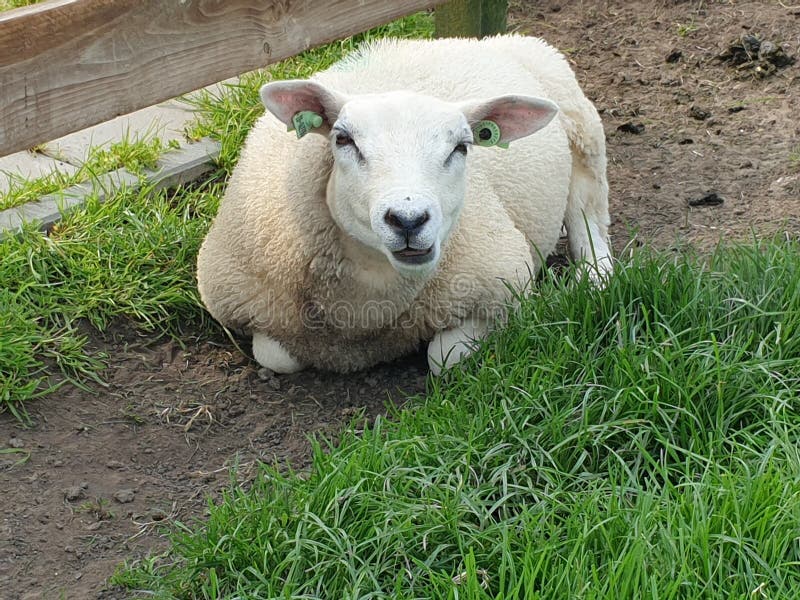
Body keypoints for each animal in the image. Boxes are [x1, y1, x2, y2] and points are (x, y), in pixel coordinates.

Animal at [196, 34, 612, 375]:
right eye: (343, 140)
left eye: (461, 147)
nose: (408, 220)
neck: (364, 313)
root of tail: (469, 40)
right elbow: (276, 357)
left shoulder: (503, 285)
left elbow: (443, 357)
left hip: (582, 128)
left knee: (588, 209)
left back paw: (594, 276)